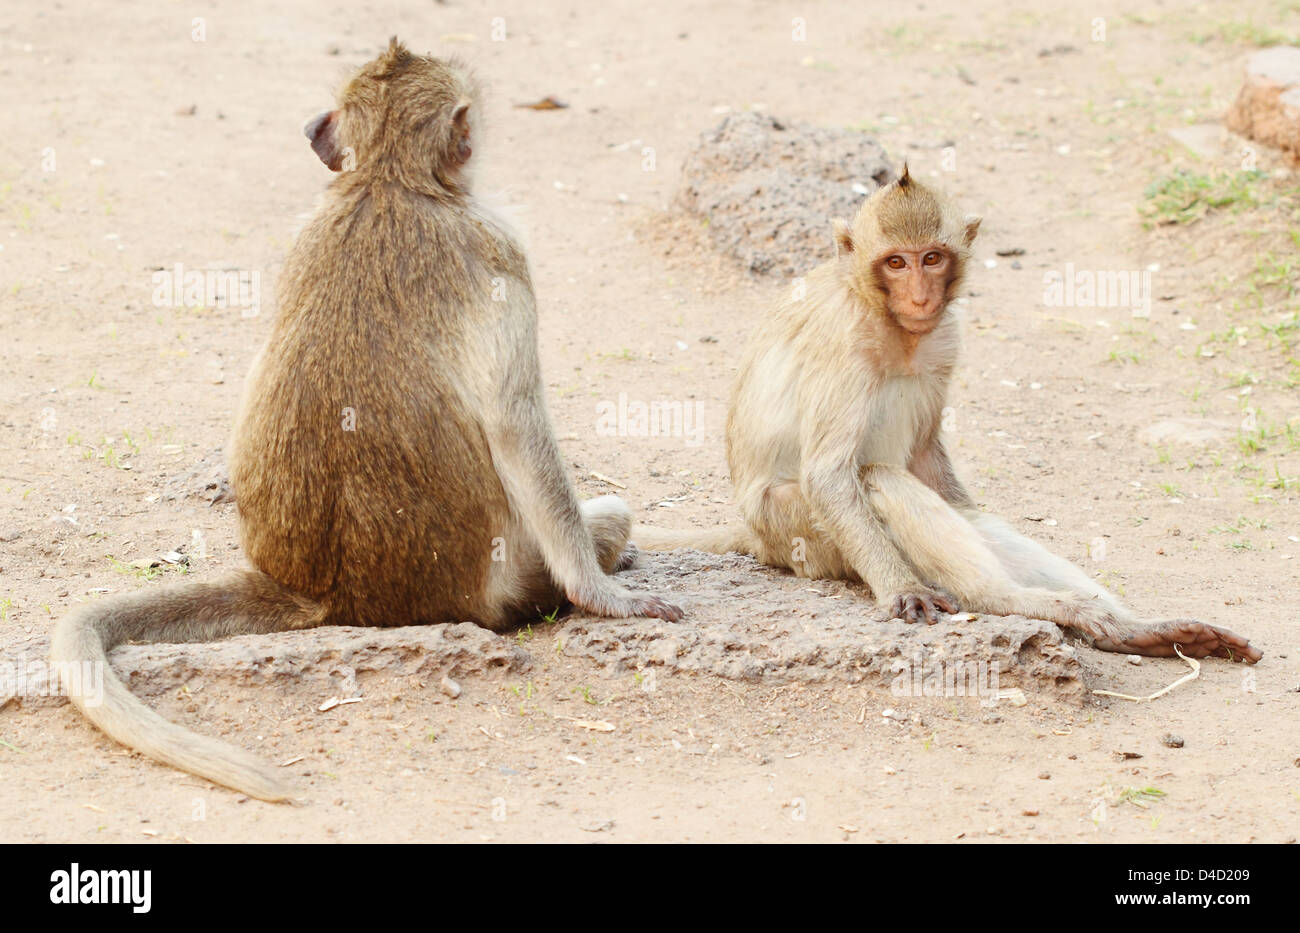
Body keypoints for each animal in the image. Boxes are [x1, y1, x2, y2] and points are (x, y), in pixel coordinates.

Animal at [50, 39, 682, 802]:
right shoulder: (502, 248)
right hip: (503, 588)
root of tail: (327, 594)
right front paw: (604, 594)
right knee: (604, 515)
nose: (310, 129)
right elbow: (516, 423)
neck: (387, 180)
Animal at [636, 166, 1261, 665]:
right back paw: (1008, 601)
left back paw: (1127, 629)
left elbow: (929, 461)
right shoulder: (843, 340)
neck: (888, 320)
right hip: (801, 537)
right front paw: (900, 590)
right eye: (895, 262)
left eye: (931, 259)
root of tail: (756, 536)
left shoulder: (945, 339)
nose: (919, 297)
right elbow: (830, 474)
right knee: (875, 479)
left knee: (964, 516)